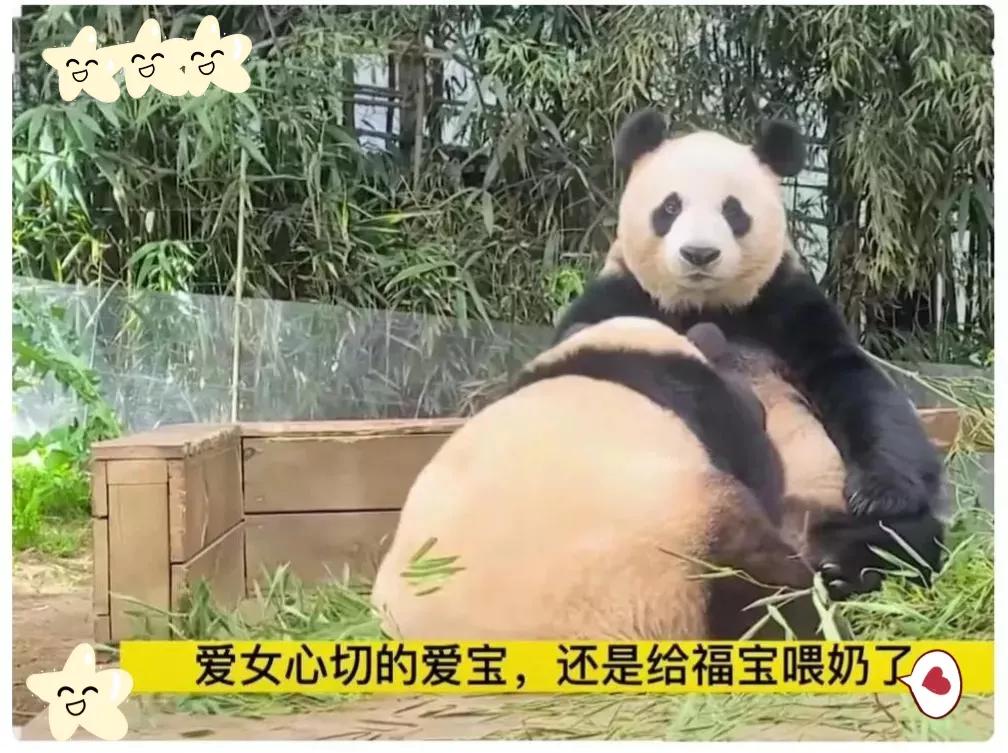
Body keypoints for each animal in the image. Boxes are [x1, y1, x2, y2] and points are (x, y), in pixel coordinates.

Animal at [554, 109, 946, 597]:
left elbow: (853, 381)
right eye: (670, 207)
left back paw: (843, 567)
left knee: (907, 537)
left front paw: (879, 493)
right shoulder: (618, 297)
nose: (699, 253)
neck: (704, 305)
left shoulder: (786, 305)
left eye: (733, 210)